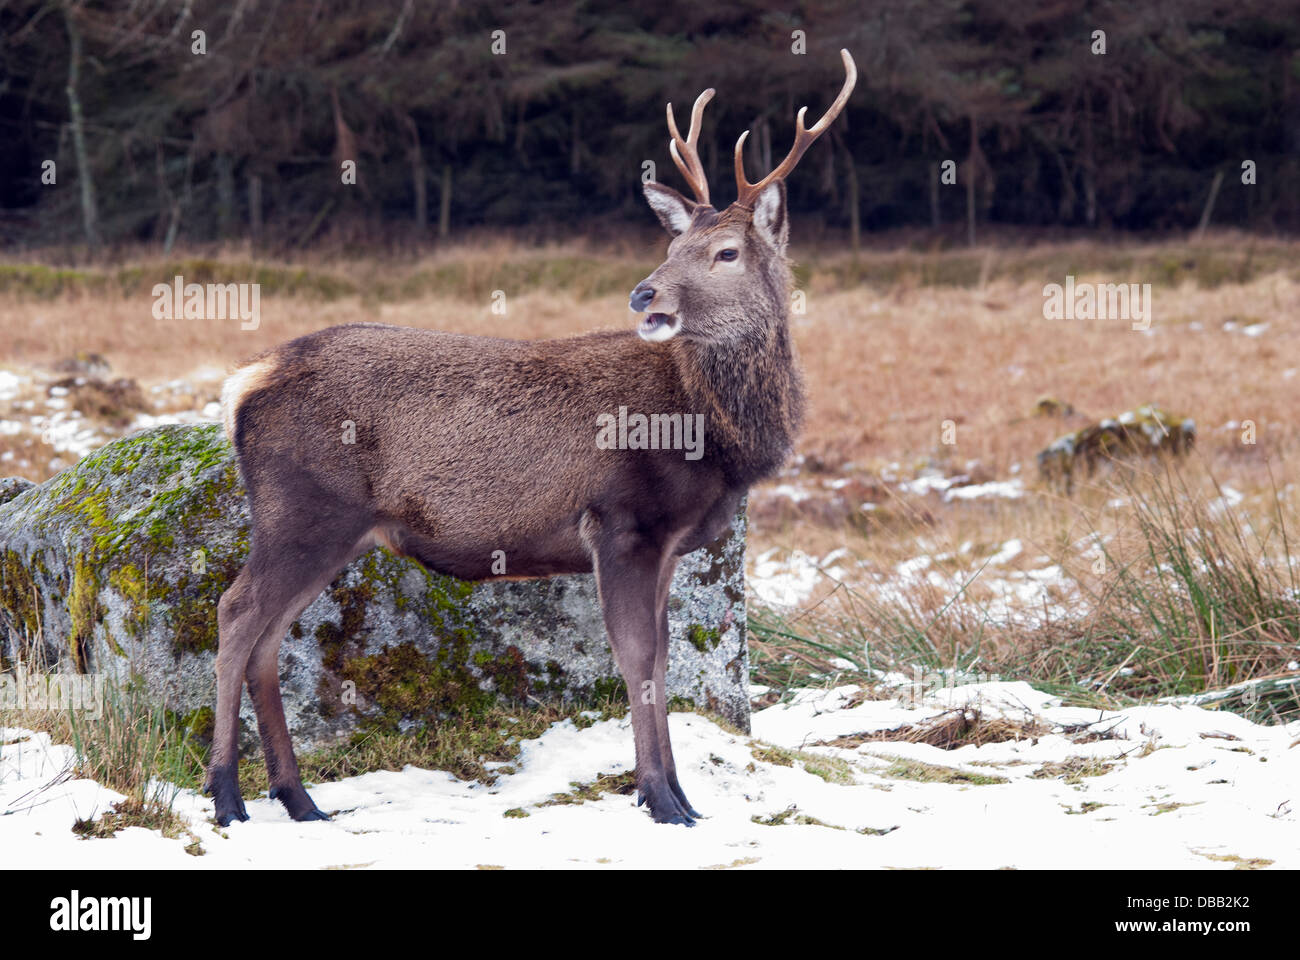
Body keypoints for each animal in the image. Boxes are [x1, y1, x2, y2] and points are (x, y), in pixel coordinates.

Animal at [207, 50, 856, 828]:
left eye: (726, 251)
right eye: (673, 243)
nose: (645, 294)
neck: (715, 434)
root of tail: (243, 382)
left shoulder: (666, 543)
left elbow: (662, 661)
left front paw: (683, 798)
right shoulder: (622, 520)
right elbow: (636, 660)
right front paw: (659, 798)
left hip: (331, 527)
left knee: (268, 638)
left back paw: (298, 799)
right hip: (304, 508)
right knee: (236, 614)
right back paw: (226, 794)